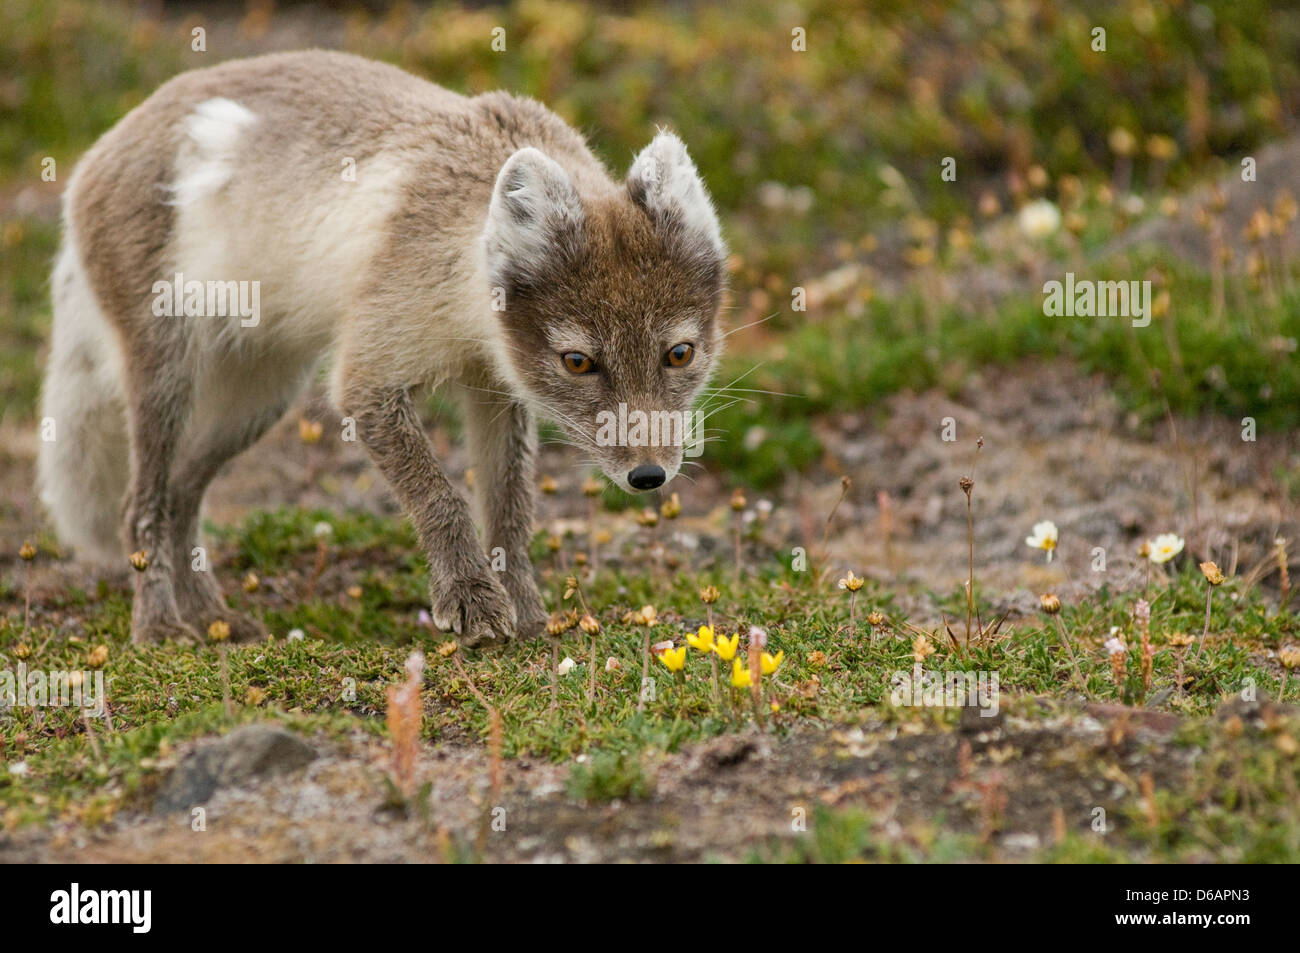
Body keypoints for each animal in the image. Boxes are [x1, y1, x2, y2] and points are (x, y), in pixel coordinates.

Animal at [38, 50, 726, 648]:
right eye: (578, 362)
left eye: (680, 354)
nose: (648, 476)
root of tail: (96, 154)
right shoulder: (366, 378)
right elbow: (442, 497)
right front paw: (473, 601)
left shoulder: (495, 386)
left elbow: (510, 507)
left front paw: (528, 613)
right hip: (167, 377)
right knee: (141, 505)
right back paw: (159, 626)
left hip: (259, 400)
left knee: (182, 495)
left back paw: (213, 618)